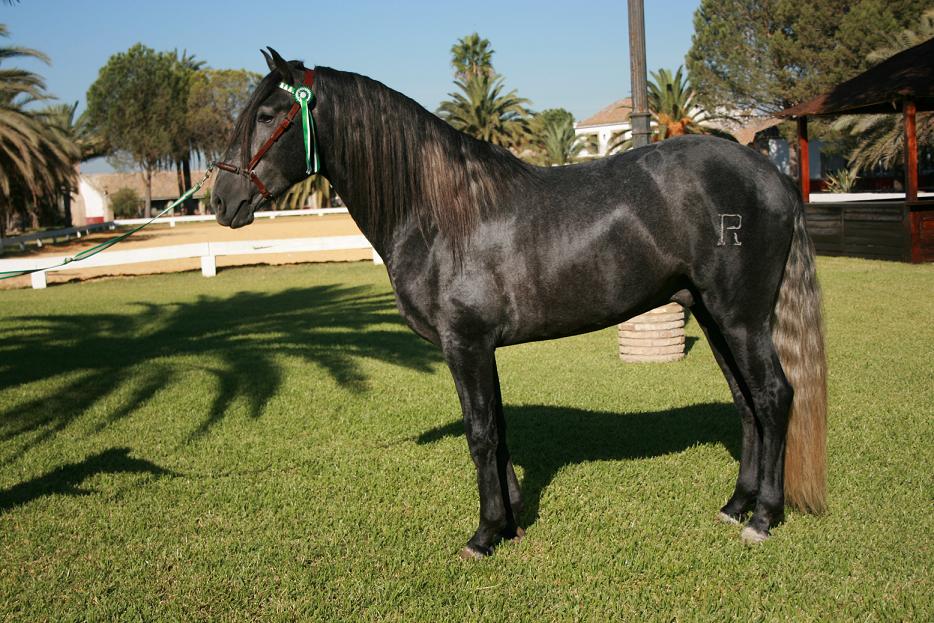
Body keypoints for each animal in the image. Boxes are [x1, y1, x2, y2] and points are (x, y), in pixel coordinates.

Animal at [211, 48, 827, 559]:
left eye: (267, 115)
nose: (222, 199)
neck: (440, 212)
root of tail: (768, 174)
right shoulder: (482, 348)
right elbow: (499, 429)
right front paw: (511, 524)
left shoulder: (465, 344)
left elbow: (480, 433)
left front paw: (483, 536)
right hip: (711, 313)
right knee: (746, 403)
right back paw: (735, 506)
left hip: (741, 318)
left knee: (774, 397)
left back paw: (763, 518)